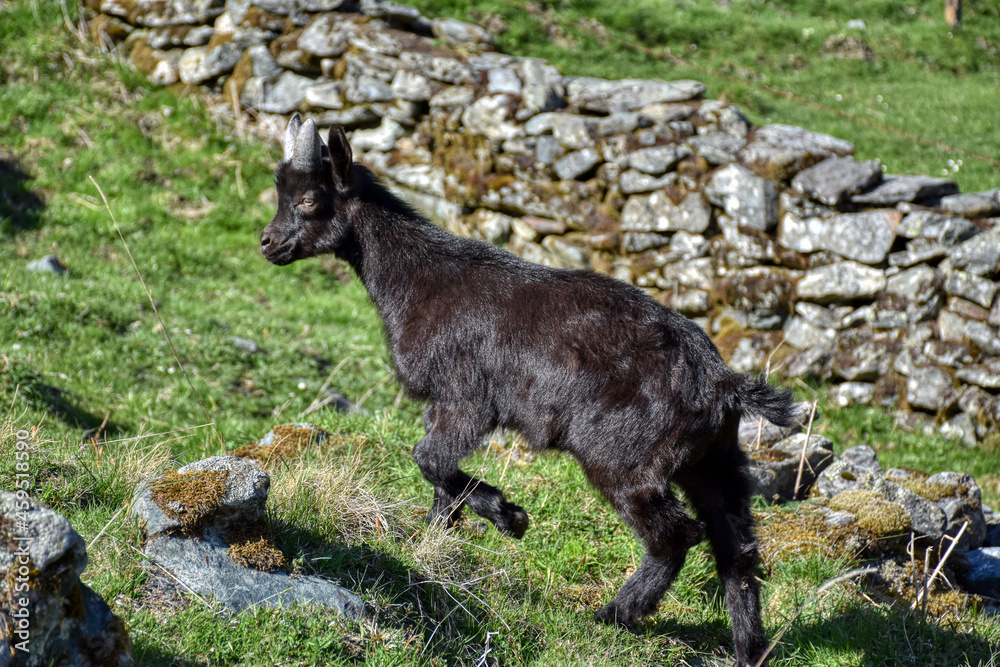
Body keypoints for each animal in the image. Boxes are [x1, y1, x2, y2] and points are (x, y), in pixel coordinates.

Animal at [260, 114, 797, 666]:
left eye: (309, 199)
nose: (267, 243)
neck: (418, 277)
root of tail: (719, 380)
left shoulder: (467, 397)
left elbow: (430, 459)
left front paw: (510, 517)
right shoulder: (442, 405)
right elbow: (438, 473)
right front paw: (432, 542)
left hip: (624, 457)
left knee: (677, 535)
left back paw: (614, 614)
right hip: (713, 463)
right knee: (737, 549)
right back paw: (749, 651)